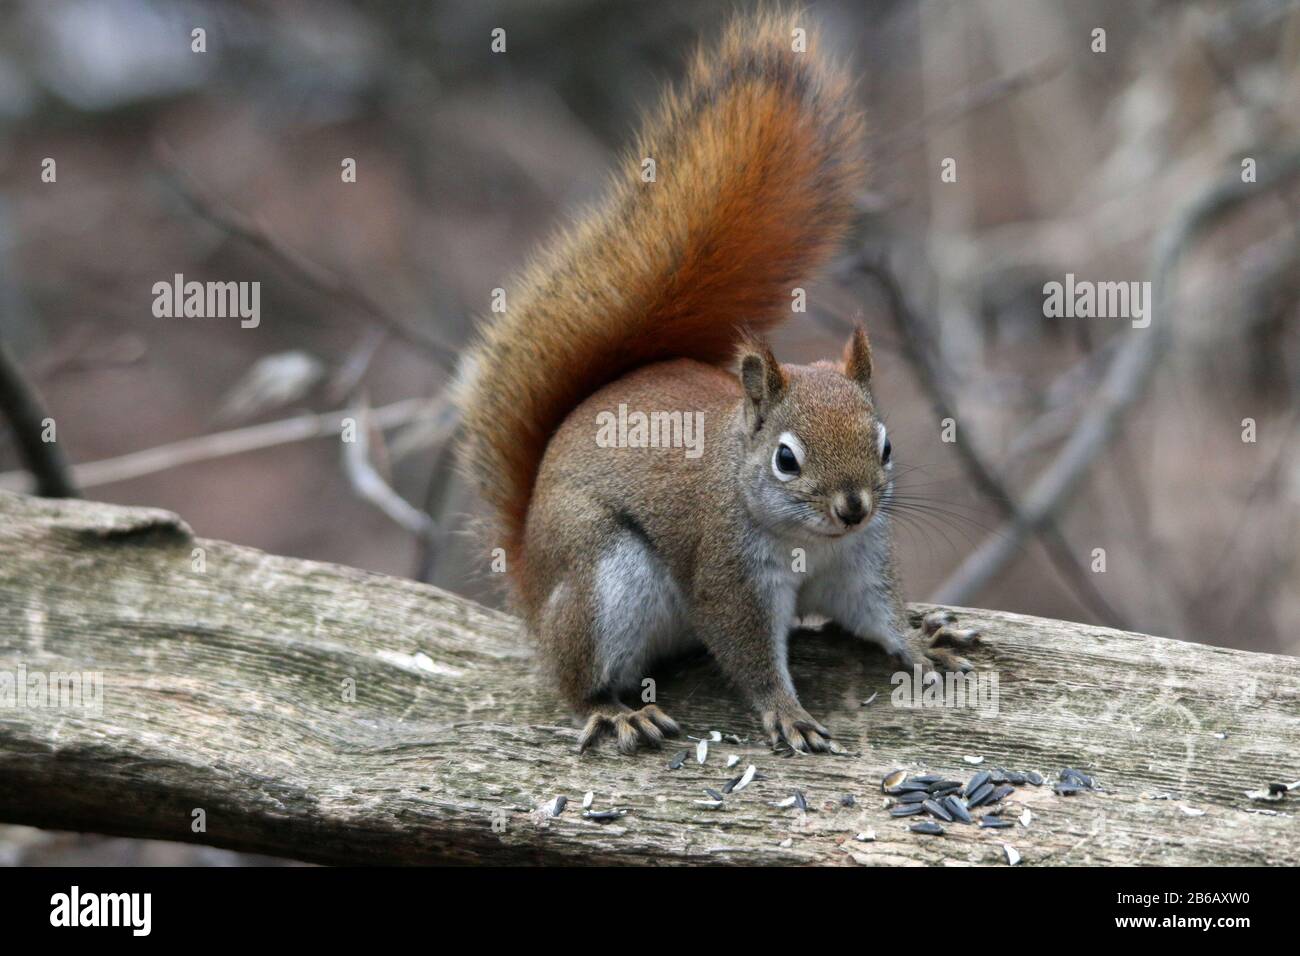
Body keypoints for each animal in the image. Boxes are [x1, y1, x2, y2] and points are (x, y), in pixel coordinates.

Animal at [456, 12, 980, 755]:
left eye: (884, 446)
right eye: (786, 459)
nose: (854, 507)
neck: (811, 543)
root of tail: (530, 576)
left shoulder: (858, 565)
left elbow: (877, 613)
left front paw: (919, 643)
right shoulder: (727, 578)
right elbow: (749, 652)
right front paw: (787, 712)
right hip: (602, 577)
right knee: (572, 676)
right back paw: (616, 711)